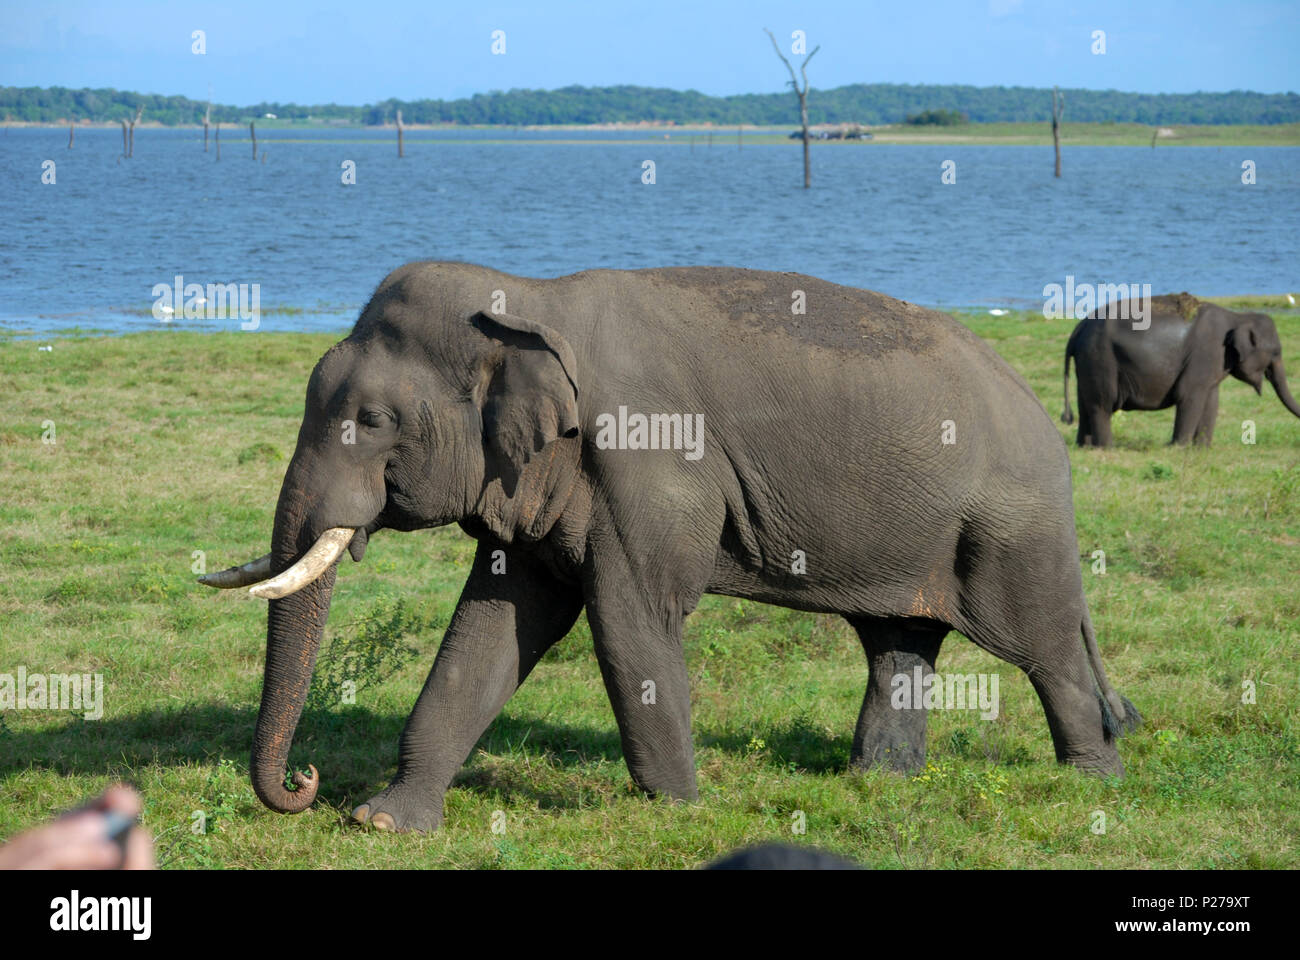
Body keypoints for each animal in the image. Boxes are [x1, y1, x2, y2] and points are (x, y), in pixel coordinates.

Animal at [199, 261, 1139, 833]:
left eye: (370, 420)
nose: (307, 785)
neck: (529, 299)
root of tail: (1043, 421)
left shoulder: (648, 466)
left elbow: (631, 620)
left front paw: (680, 812)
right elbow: (495, 625)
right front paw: (386, 821)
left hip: (1010, 530)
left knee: (1044, 649)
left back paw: (1093, 780)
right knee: (897, 645)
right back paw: (877, 783)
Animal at [1062, 292, 1300, 447]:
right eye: (1276, 353)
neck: (1237, 317)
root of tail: (1078, 329)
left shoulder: (1213, 363)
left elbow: (1211, 399)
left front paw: (1202, 449)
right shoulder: (1206, 353)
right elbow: (1189, 394)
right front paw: (1178, 448)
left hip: (1087, 362)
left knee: (1085, 403)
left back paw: (1085, 446)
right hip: (1100, 358)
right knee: (1102, 404)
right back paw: (1106, 447)